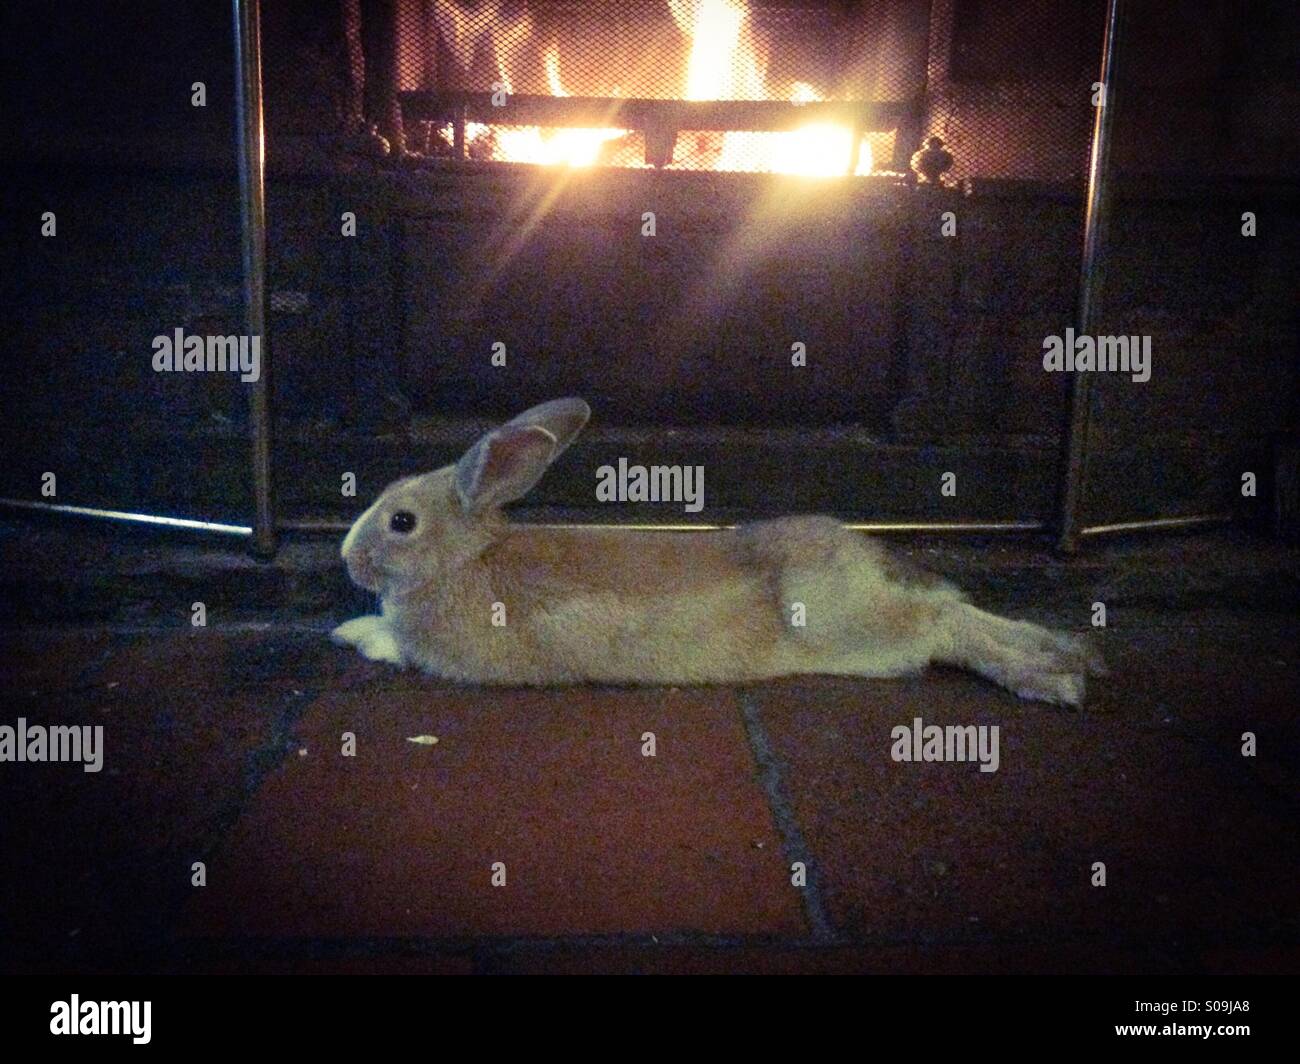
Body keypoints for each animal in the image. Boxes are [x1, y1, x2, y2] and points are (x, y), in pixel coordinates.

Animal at [332, 398, 1104, 706]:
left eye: (401, 522)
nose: (347, 560)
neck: (463, 559)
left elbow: (389, 640)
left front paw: (349, 629)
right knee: (962, 618)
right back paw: (1073, 659)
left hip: (856, 628)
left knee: (947, 626)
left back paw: (1054, 680)